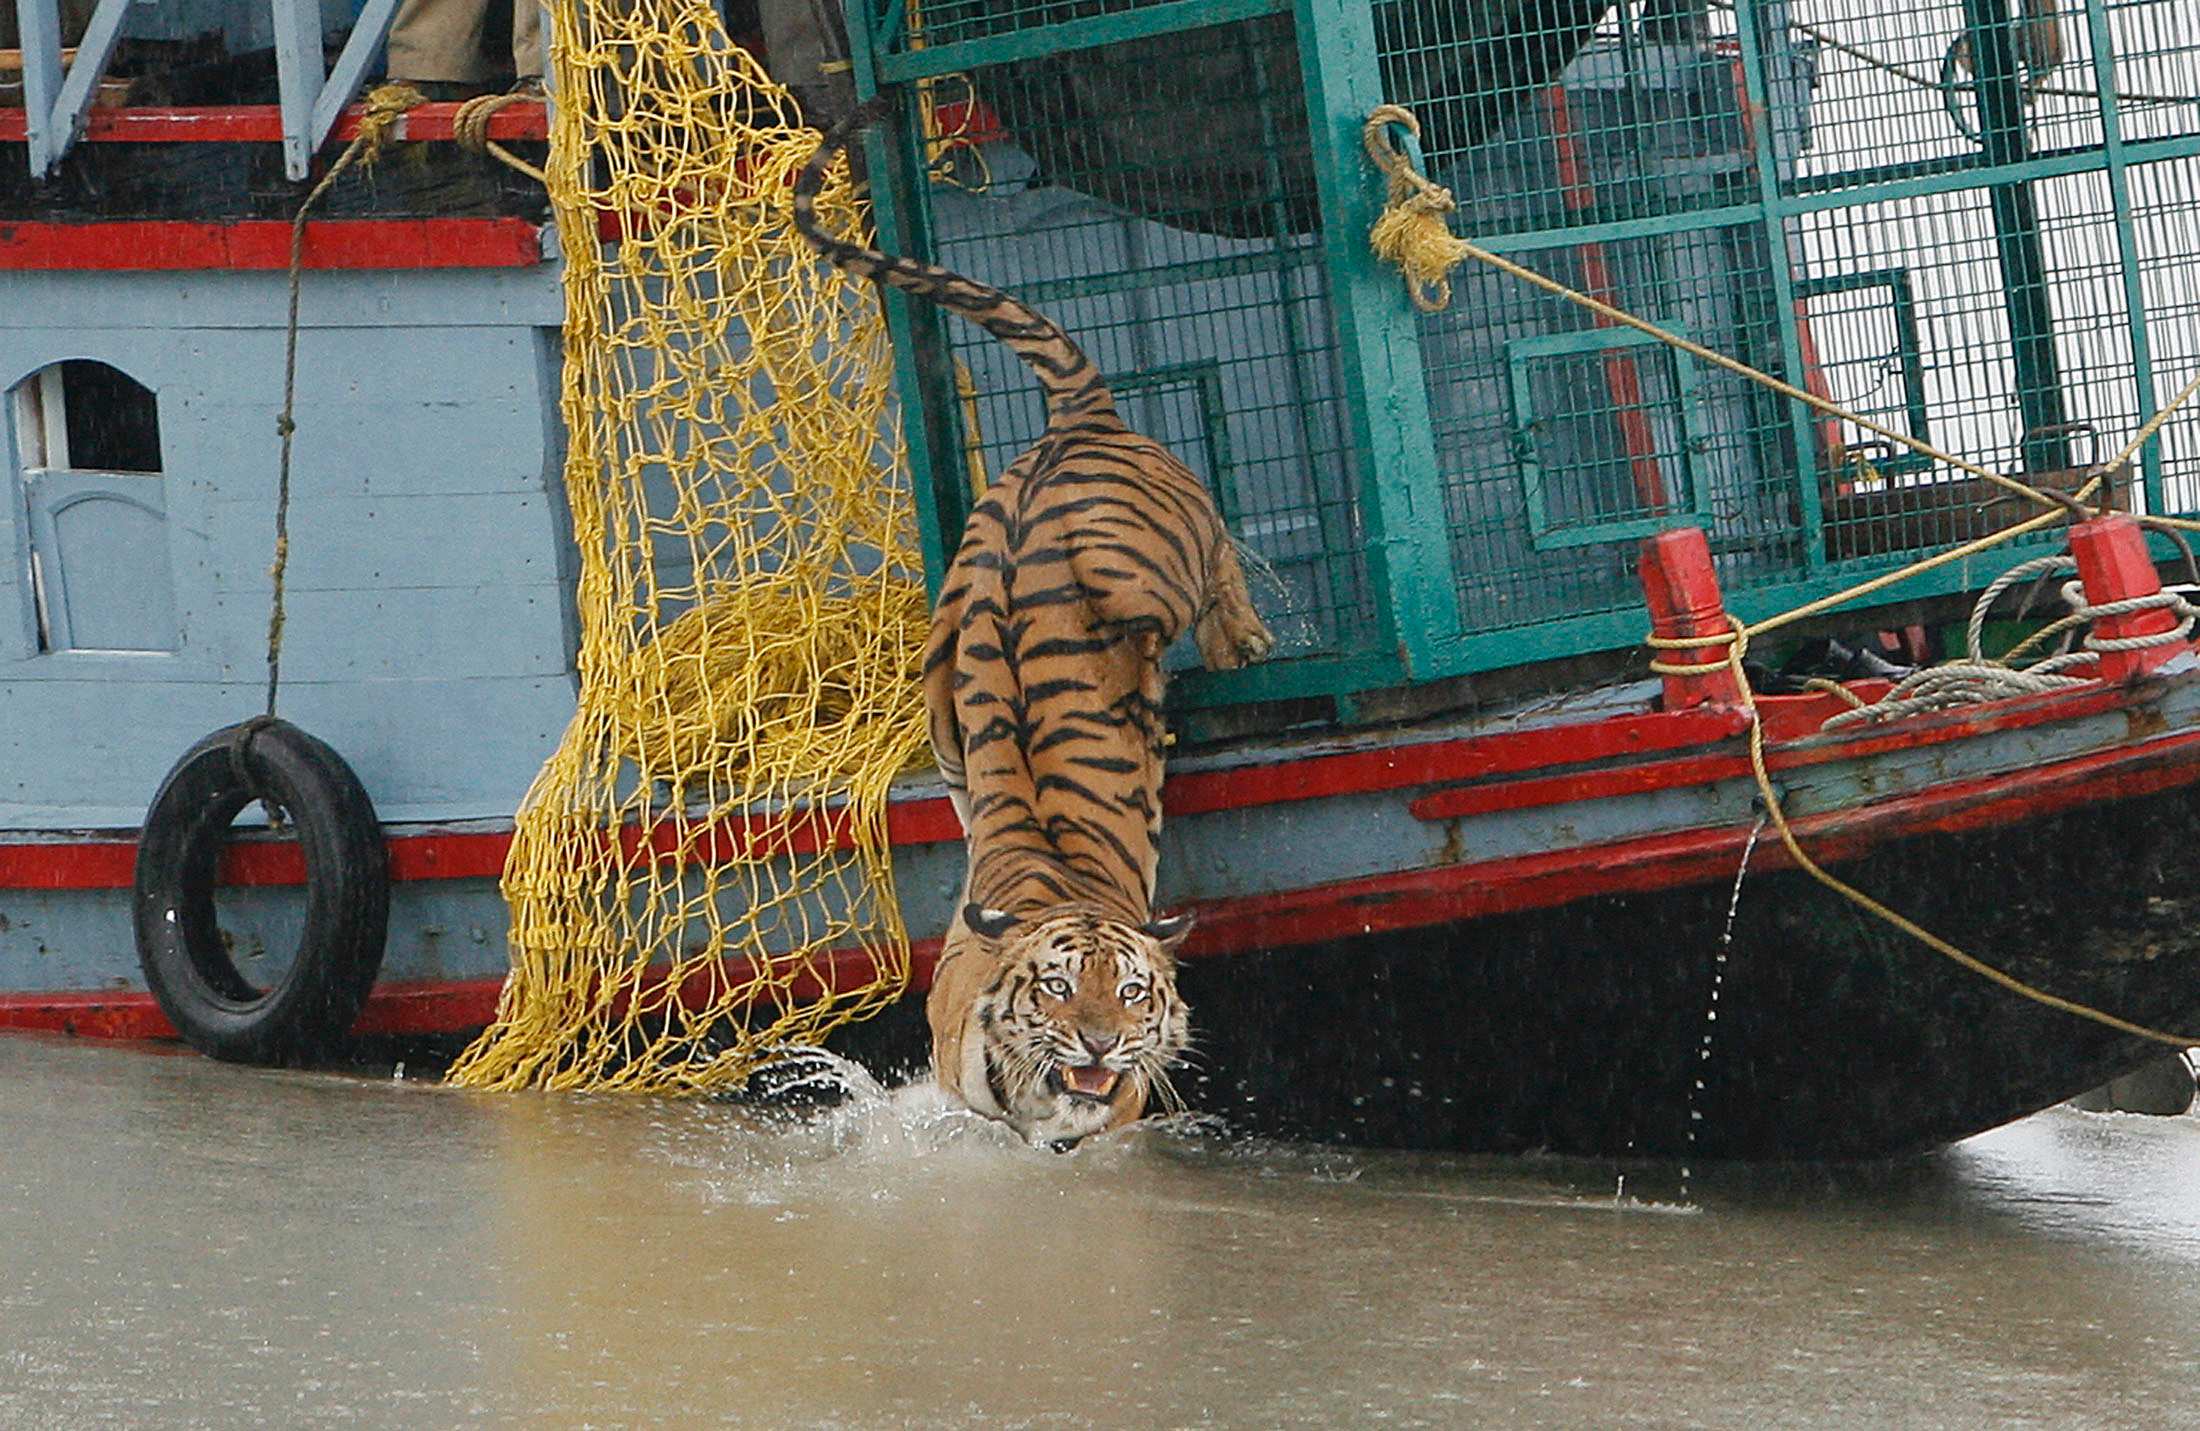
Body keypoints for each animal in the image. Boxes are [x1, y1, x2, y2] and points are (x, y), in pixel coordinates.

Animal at [793, 98, 1274, 1146]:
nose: (1099, 1043)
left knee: (1218, 565)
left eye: (1133, 992)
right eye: (1055, 988)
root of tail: (1075, 422)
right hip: (983, 667)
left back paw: (1241, 642)